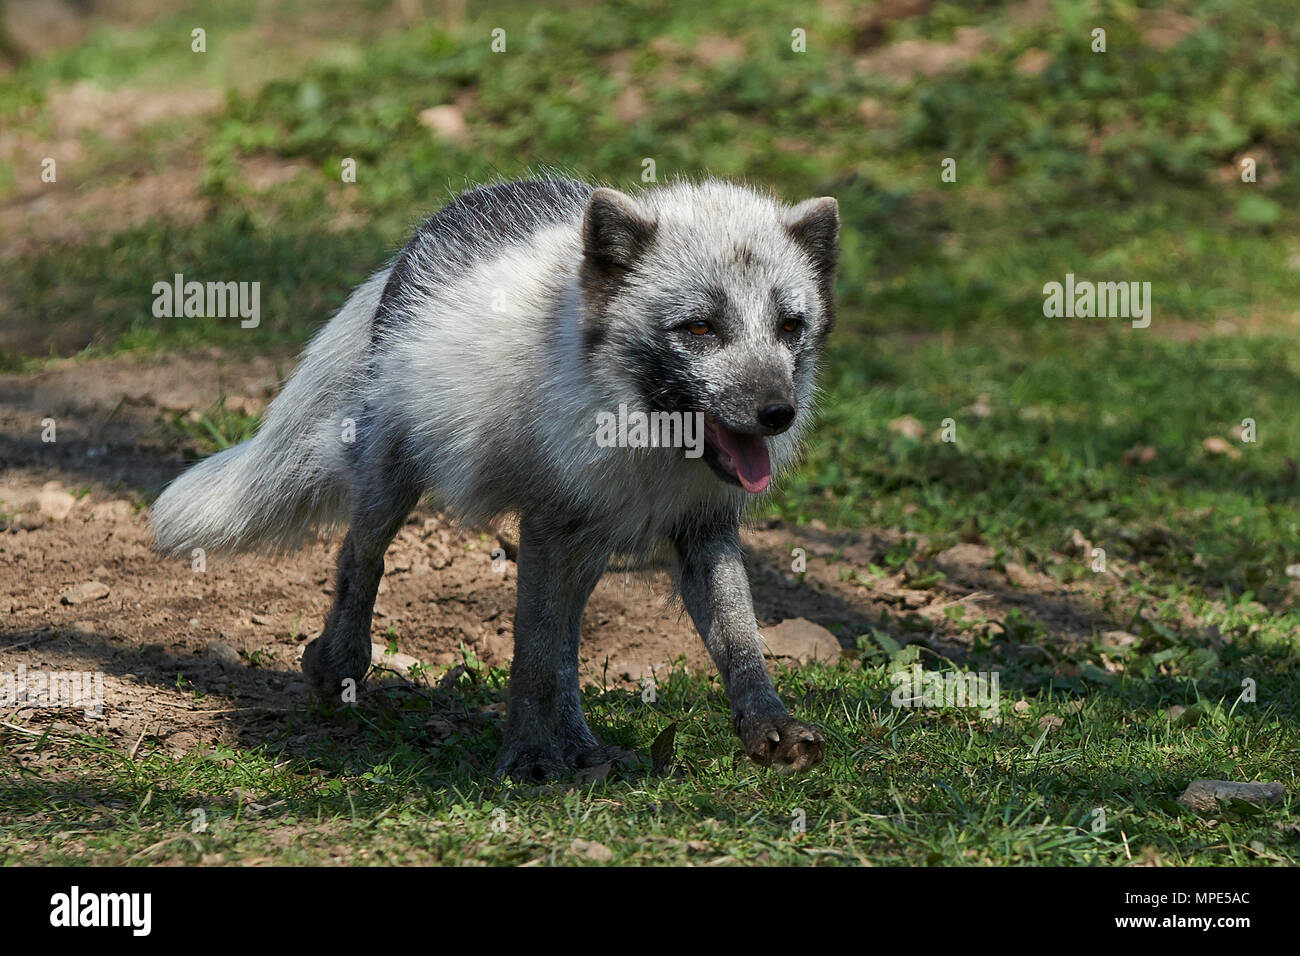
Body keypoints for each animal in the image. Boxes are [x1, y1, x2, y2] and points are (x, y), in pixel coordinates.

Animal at [150, 176, 840, 781]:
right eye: (699, 327)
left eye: (789, 326)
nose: (777, 413)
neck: (644, 437)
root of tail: (444, 219)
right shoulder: (546, 524)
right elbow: (530, 655)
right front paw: (528, 757)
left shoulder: (702, 527)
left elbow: (737, 638)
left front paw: (769, 726)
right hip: (393, 475)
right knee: (360, 554)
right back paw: (338, 663)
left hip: (589, 547)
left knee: (567, 640)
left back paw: (581, 745)